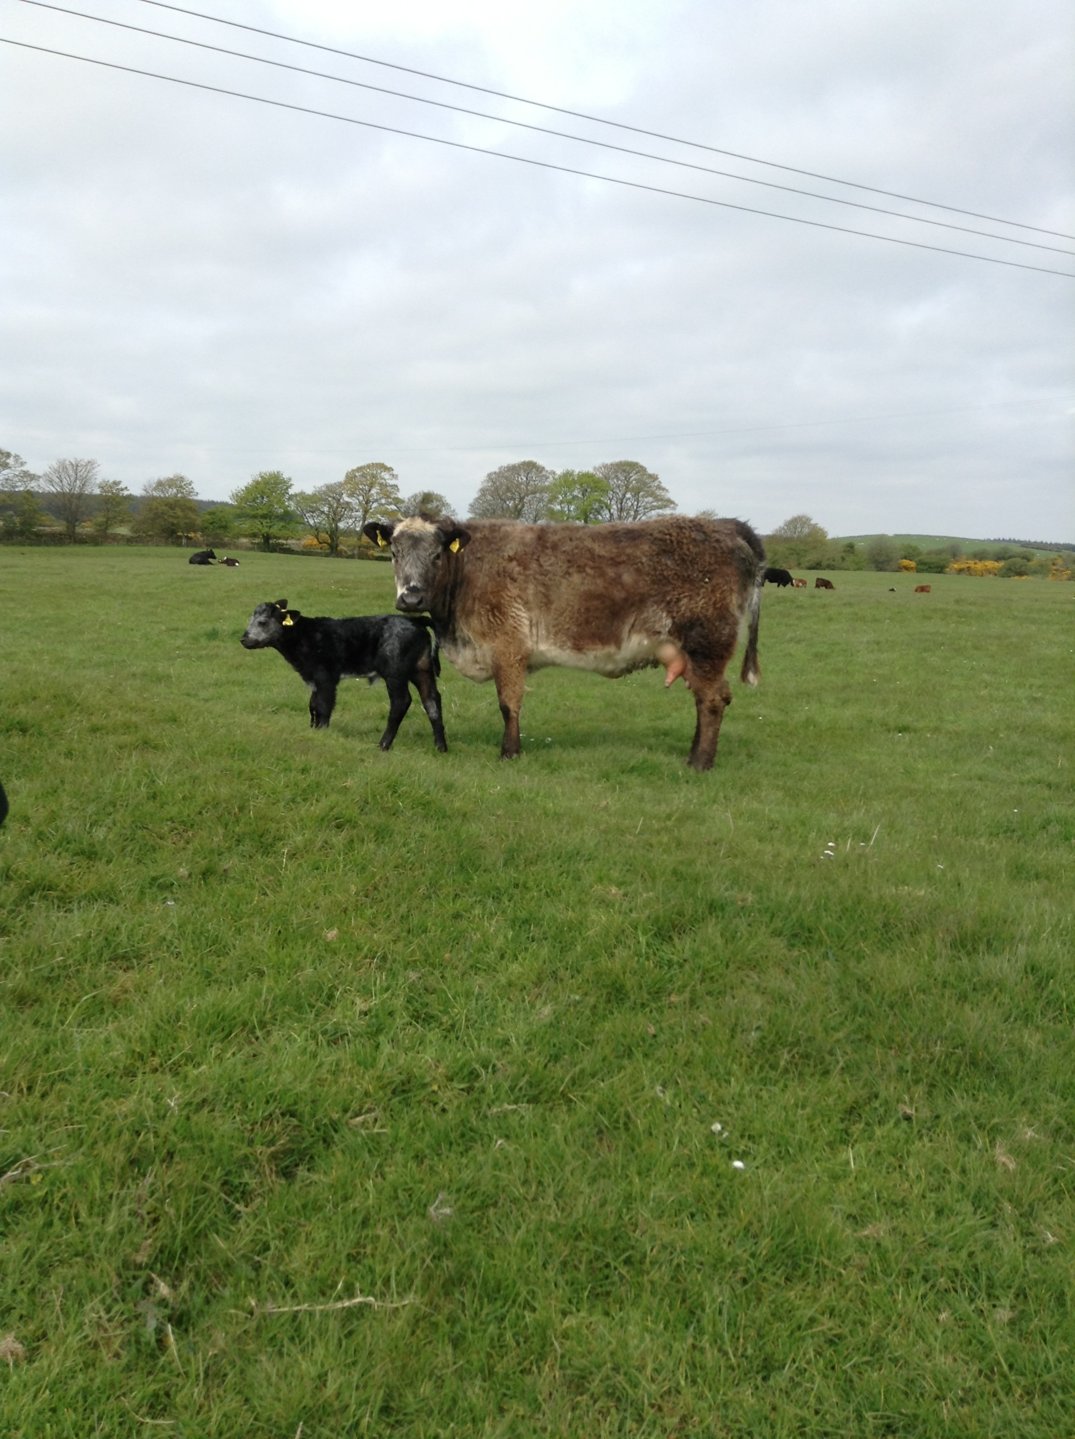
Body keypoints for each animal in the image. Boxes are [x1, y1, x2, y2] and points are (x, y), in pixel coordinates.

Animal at [240, 599, 447, 751]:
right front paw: (312, 730)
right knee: (431, 701)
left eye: (262, 622)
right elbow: (312, 705)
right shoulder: (314, 679)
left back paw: (383, 744)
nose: (243, 639)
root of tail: (414, 620)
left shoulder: (326, 677)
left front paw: (322, 733)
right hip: (422, 670)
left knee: (401, 702)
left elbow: (323, 706)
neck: (305, 636)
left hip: (395, 673)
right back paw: (440, 747)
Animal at [363, 514, 765, 772]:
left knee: (712, 701)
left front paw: (509, 753)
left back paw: (699, 763)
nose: (411, 598)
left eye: (436, 555)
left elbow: (509, 704)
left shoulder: (508, 646)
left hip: (708, 644)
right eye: (394, 553)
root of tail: (725, 525)